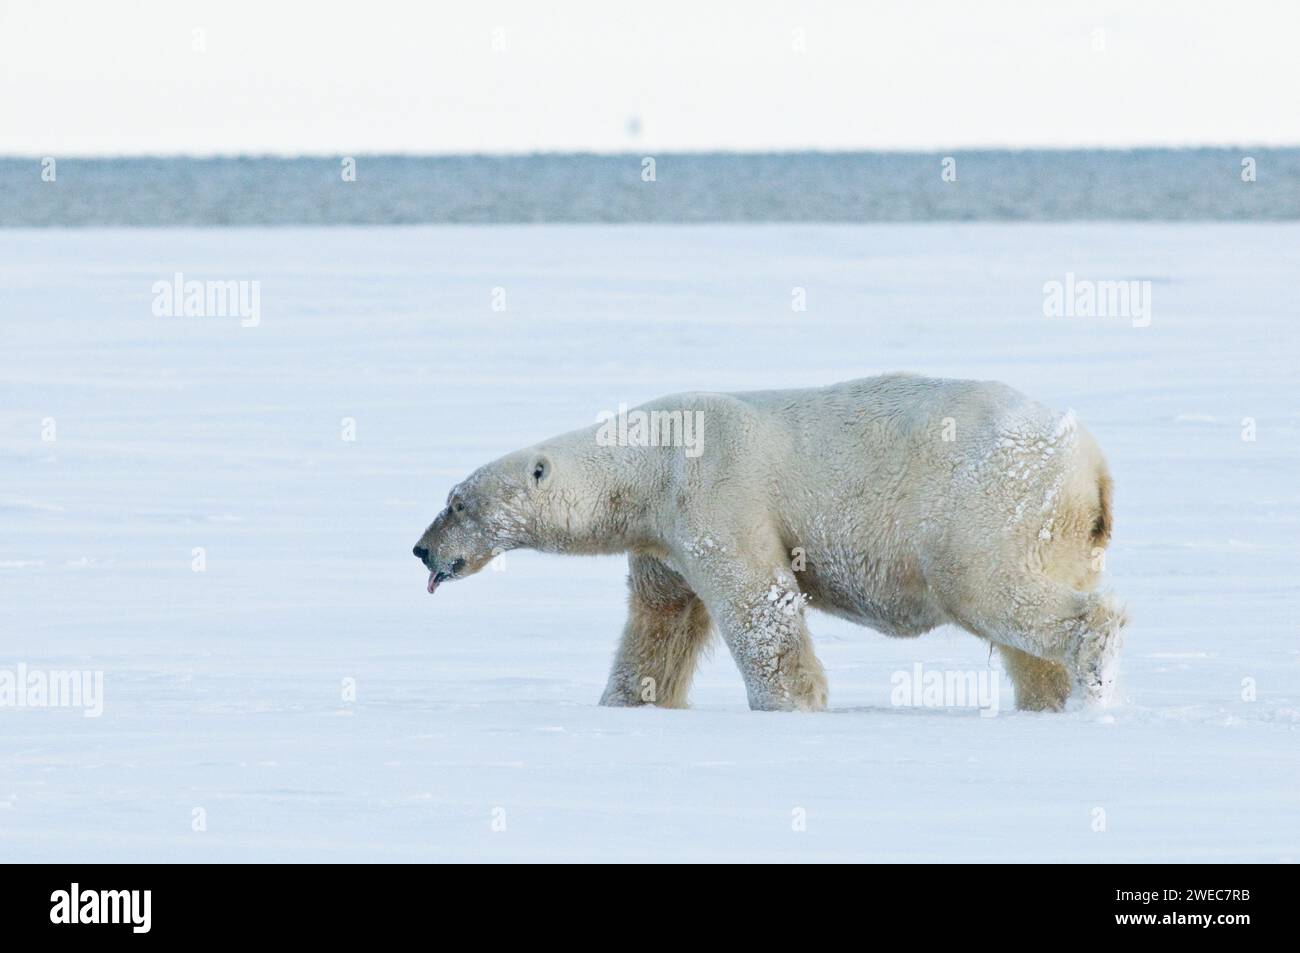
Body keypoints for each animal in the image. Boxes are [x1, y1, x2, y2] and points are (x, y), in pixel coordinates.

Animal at [412, 374, 1126, 713]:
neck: (653, 457)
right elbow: (660, 622)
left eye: (456, 502)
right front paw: (627, 701)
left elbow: (761, 603)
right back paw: (1050, 700)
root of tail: (1091, 466)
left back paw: (1092, 678)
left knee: (990, 589)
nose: (421, 549)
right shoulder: (662, 539)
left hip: (985, 501)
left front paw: (791, 702)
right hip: (1059, 530)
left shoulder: (716, 492)